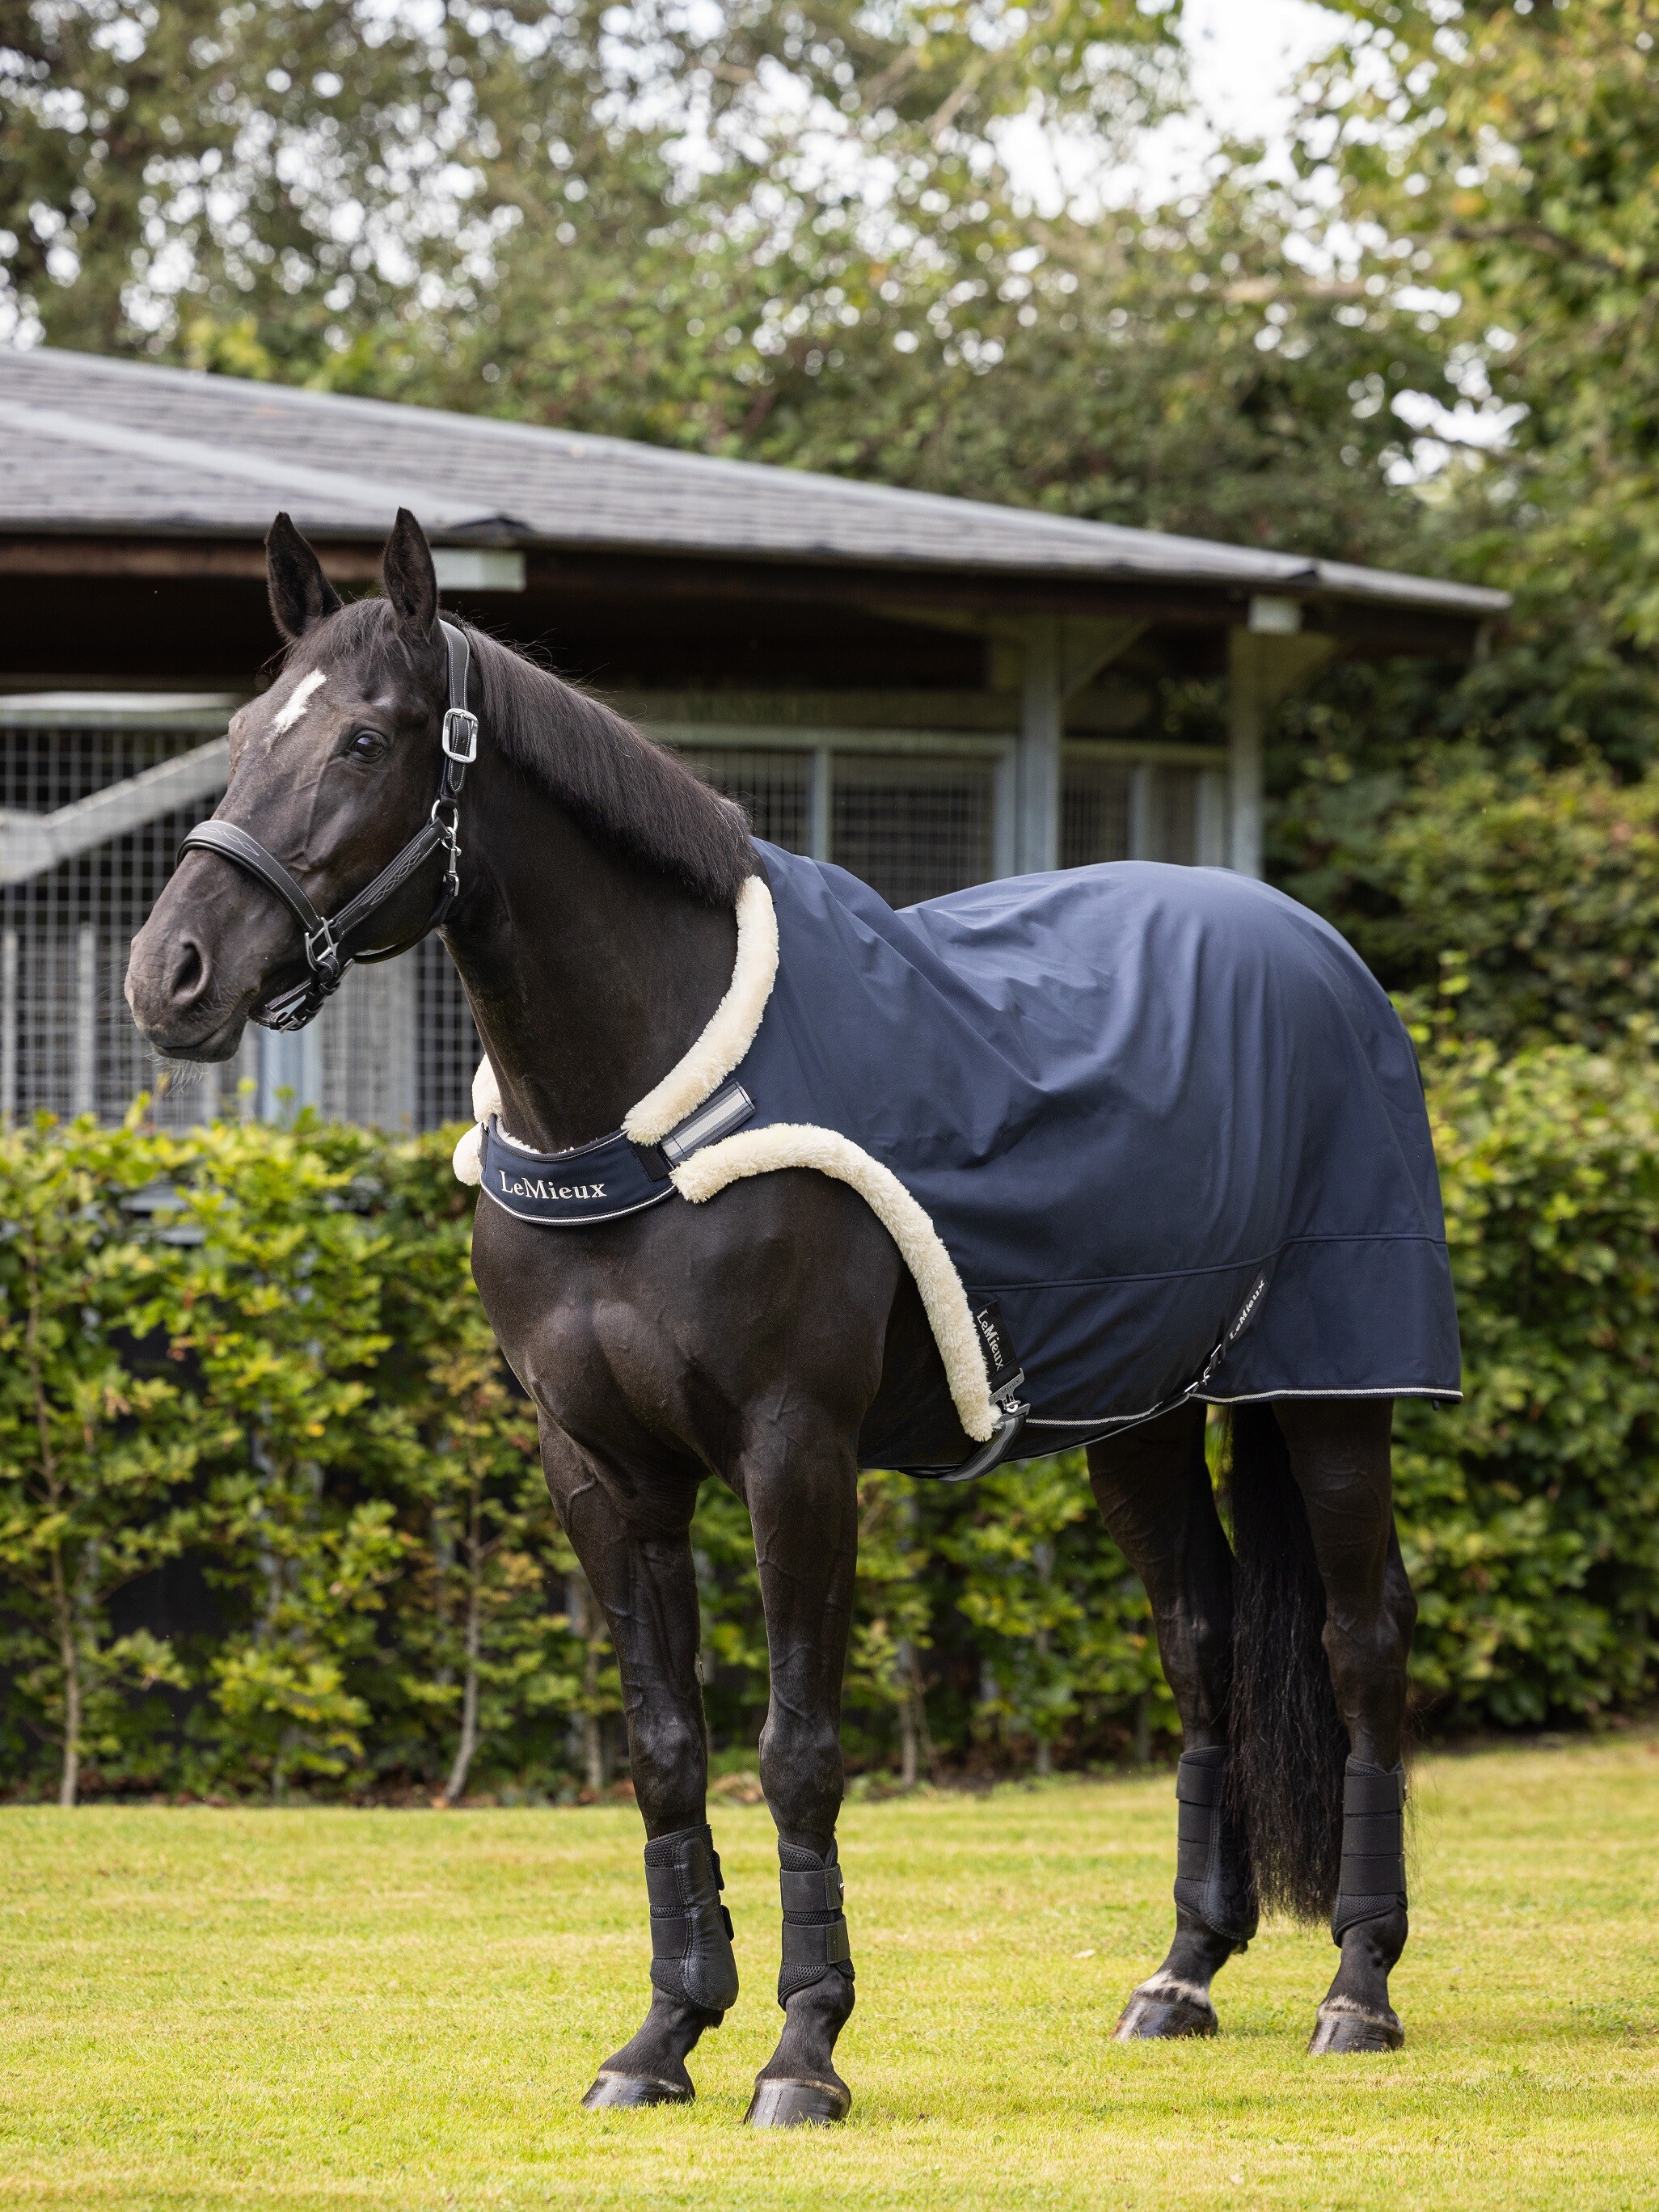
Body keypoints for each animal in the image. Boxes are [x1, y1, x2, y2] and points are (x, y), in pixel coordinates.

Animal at [126, 510, 1437, 2127]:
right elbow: (667, 1753)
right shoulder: (602, 1470)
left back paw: (1358, 1988)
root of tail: (1311, 948)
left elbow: (797, 1749)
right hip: (1136, 1411)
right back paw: (1183, 1972)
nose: (170, 976)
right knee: (1200, 1639)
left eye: (364, 740)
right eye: (243, 732)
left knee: (1360, 1638)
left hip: (1331, 1386)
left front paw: (803, 2049)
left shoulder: (791, 1453)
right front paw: (661, 2037)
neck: (640, 1115)